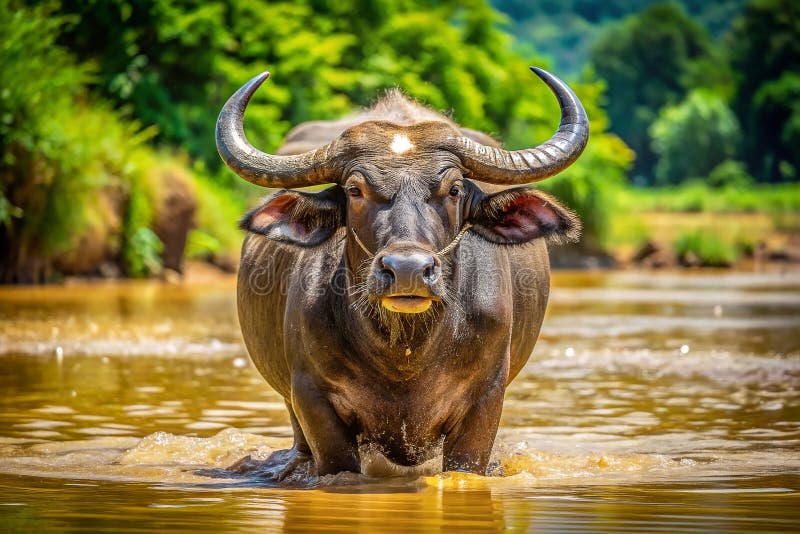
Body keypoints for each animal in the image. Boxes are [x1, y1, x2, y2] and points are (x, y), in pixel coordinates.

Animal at [216, 67, 588, 479]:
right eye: (354, 190)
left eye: (454, 189)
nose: (407, 269)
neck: (404, 353)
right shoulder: (312, 399)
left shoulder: (486, 400)